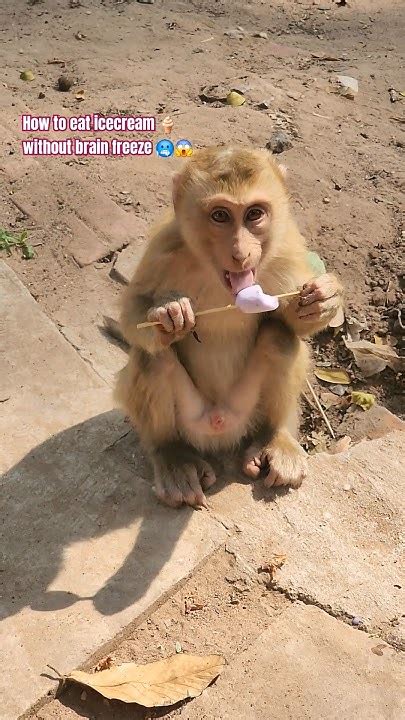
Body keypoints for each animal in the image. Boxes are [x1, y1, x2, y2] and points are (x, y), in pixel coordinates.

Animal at [114, 146, 343, 508]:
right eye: (220, 216)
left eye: (254, 214)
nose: (240, 253)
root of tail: (220, 425)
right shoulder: (164, 245)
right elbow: (132, 314)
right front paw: (168, 314)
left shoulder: (288, 244)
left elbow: (289, 319)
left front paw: (323, 299)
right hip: (191, 420)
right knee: (153, 357)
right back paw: (172, 456)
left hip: (245, 410)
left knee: (279, 339)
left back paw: (272, 437)